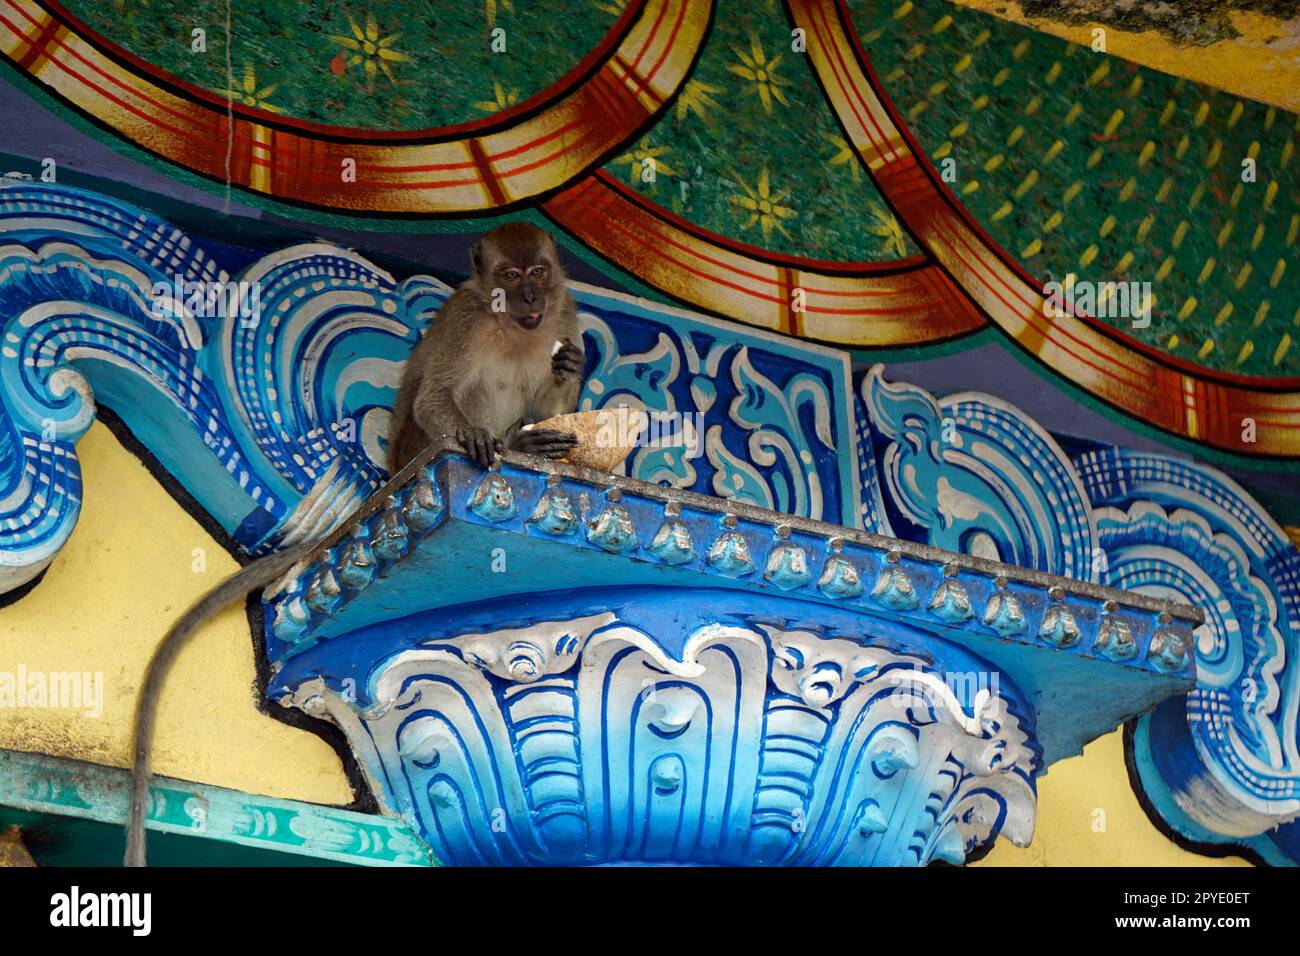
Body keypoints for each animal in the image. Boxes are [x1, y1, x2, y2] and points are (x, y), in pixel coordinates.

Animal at [386, 221, 585, 475]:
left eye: (537, 272)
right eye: (512, 275)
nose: (530, 297)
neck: (509, 324)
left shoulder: (564, 313)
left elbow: (551, 414)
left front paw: (570, 366)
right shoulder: (466, 316)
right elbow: (433, 397)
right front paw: (472, 435)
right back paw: (516, 444)